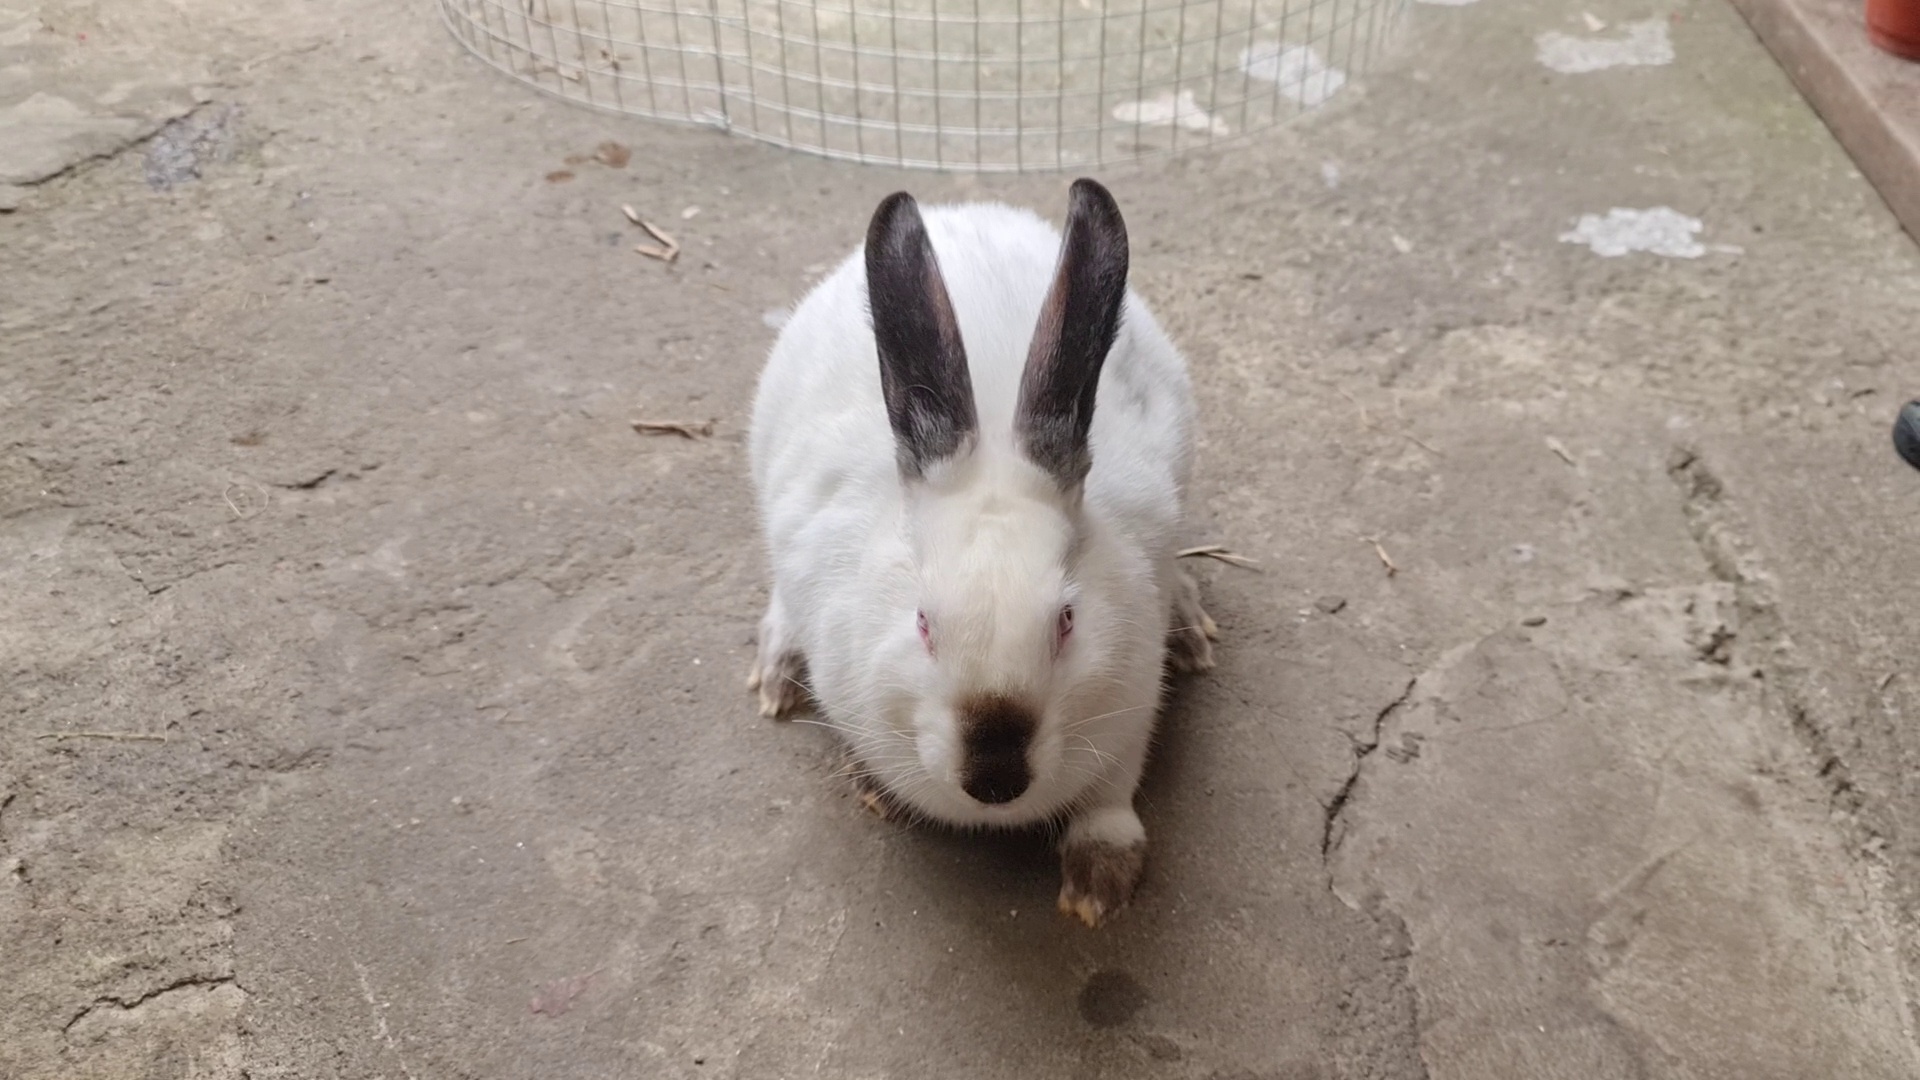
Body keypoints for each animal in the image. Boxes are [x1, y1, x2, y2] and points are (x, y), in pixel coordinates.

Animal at [747, 179, 1216, 928]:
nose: (995, 779)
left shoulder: (1132, 711)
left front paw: (1098, 885)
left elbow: (1111, 797)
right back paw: (779, 674)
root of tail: (958, 211)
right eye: (922, 623)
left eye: (1066, 621)